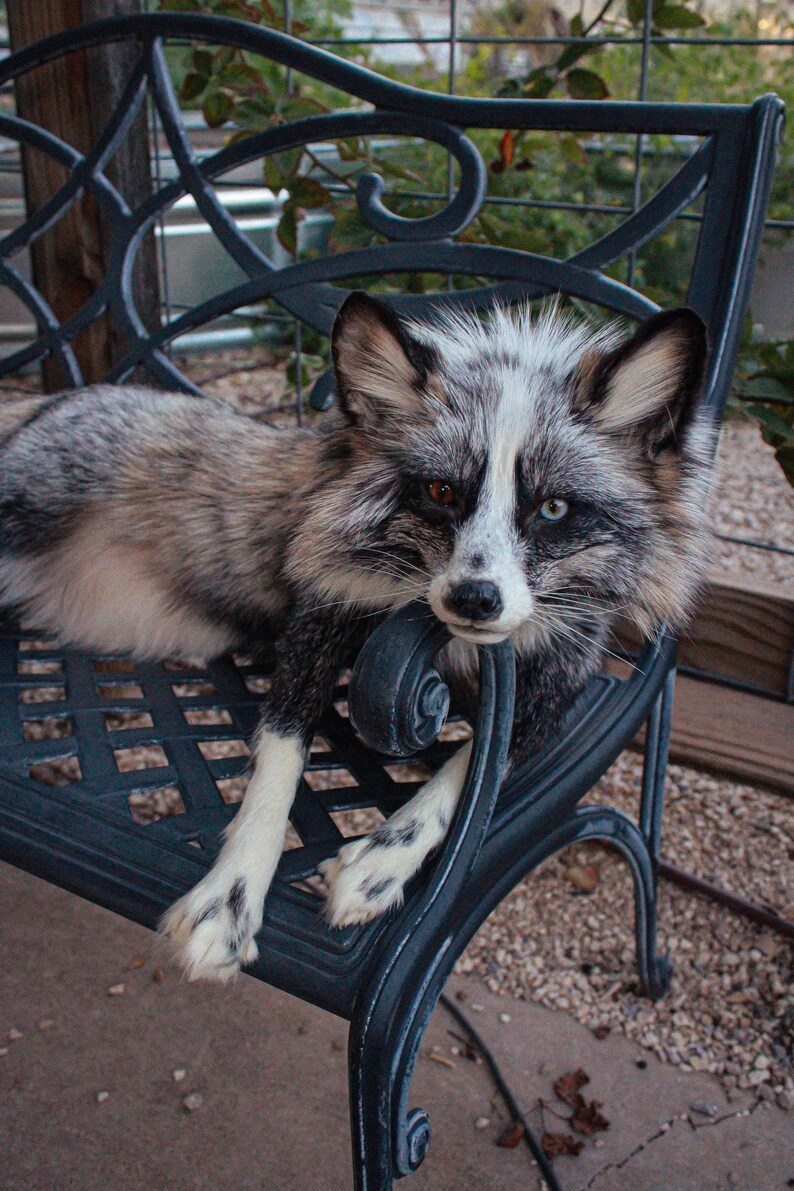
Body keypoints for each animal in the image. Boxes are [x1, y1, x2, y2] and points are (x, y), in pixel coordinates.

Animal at [0, 292, 713, 981]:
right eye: (440, 491)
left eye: (555, 508)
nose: (474, 600)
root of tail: (53, 400)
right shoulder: (322, 617)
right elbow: (278, 766)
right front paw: (229, 898)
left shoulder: (559, 685)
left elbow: (465, 769)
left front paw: (379, 862)